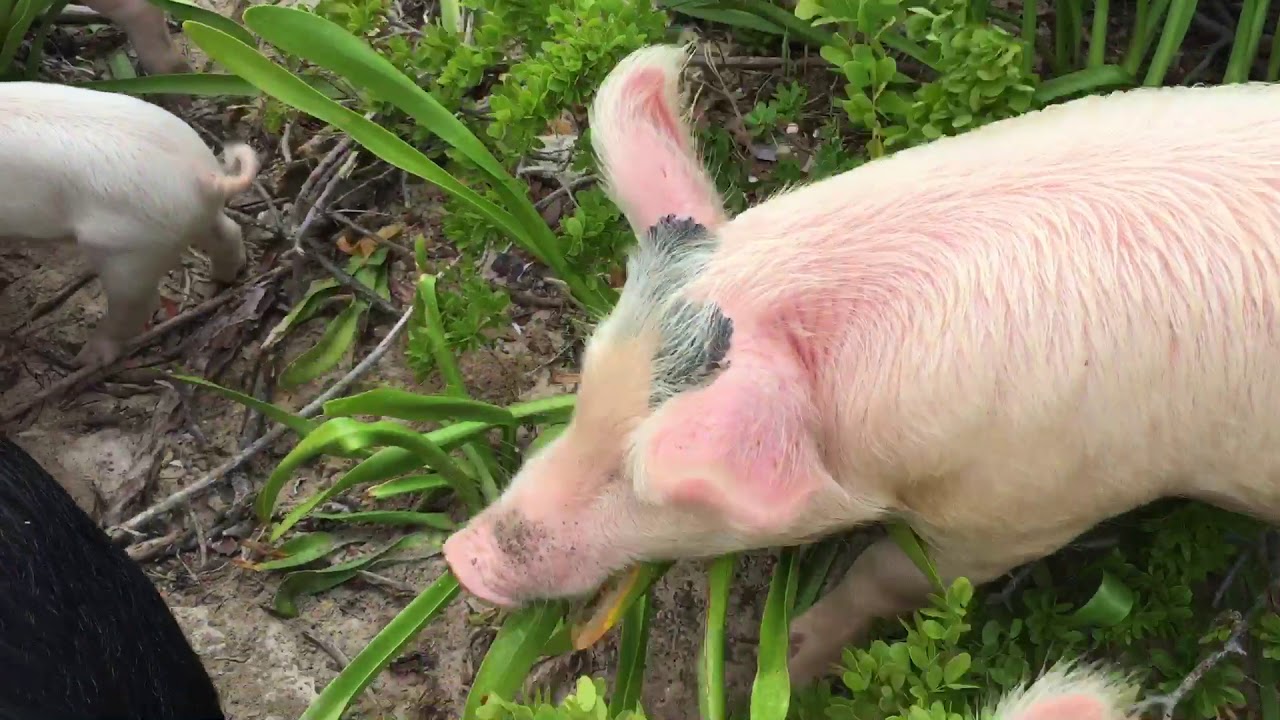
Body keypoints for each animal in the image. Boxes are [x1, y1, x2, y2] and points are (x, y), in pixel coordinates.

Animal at [0, 80, 259, 366]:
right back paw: (225, 276)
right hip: (196, 218)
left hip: (128, 253)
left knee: (137, 306)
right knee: (228, 232)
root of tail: (204, 176)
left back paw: (85, 359)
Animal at [442, 42, 1280, 690]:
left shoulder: (1031, 505)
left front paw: (778, 664)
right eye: (584, 385)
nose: (463, 555)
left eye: (651, 484)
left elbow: (893, 574)